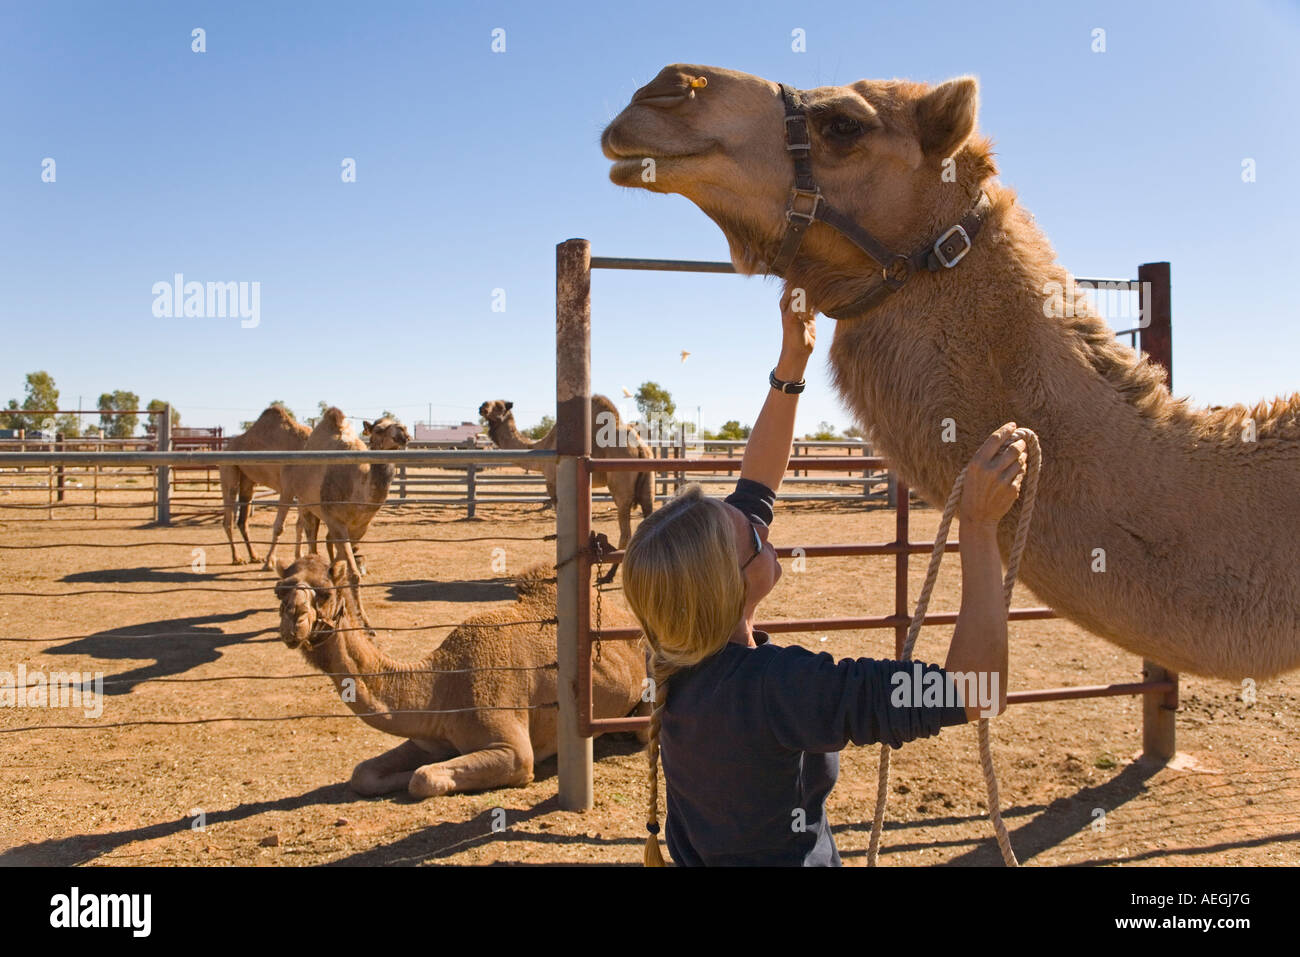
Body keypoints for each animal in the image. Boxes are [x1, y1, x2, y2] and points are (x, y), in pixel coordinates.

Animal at [220, 405, 311, 568]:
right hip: (228, 470)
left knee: (242, 521)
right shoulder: (288, 489)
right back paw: (237, 558)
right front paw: (269, 562)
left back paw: (254, 556)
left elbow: (301, 524)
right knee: (228, 518)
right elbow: (279, 527)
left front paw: (299, 556)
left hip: (248, 481)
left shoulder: (303, 493)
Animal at [274, 554, 648, 797]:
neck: (444, 686)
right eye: (279, 590)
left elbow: (422, 779)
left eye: (325, 592)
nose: (293, 620)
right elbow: (362, 774)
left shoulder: (513, 749)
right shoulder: (427, 736)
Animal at [479, 395, 654, 583]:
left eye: (499, 406)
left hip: (621, 489)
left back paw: (608, 576)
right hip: (648, 486)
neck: (543, 448)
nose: (482, 407)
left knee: (626, 532)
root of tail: (641, 448)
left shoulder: (552, 483)